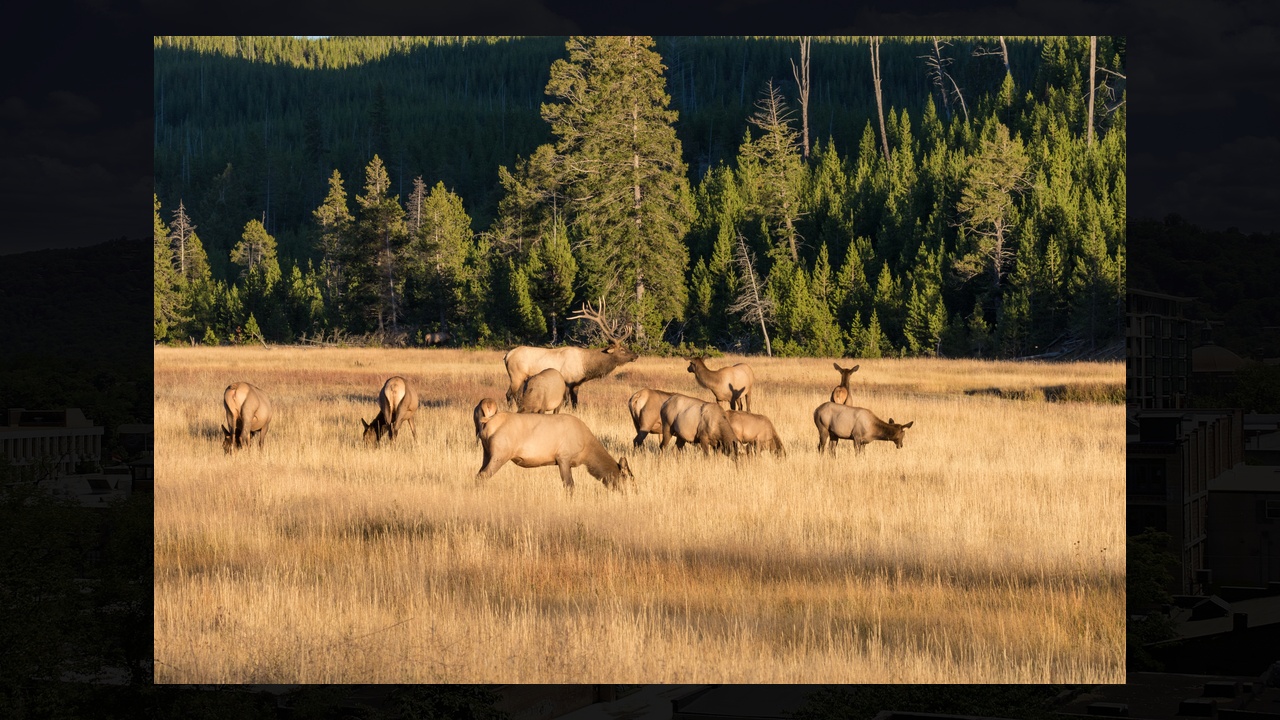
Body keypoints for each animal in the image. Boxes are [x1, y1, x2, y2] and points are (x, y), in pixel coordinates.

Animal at [476, 411, 633, 495]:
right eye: (628, 477)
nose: (634, 492)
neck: (587, 449)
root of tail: (487, 422)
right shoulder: (563, 457)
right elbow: (569, 485)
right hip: (501, 454)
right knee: (483, 475)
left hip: (486, 453)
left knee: (478, 474)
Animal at [503, 299, 638, 410]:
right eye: (622, 349)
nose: (636, 355)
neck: (585, 366)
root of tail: (507, 356)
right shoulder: (568, 381)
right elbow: (566, 402)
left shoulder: (577, 384)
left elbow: (575, 403)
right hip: (516, 375)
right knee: (511, 394)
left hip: (521, 378)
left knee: (513, 395)